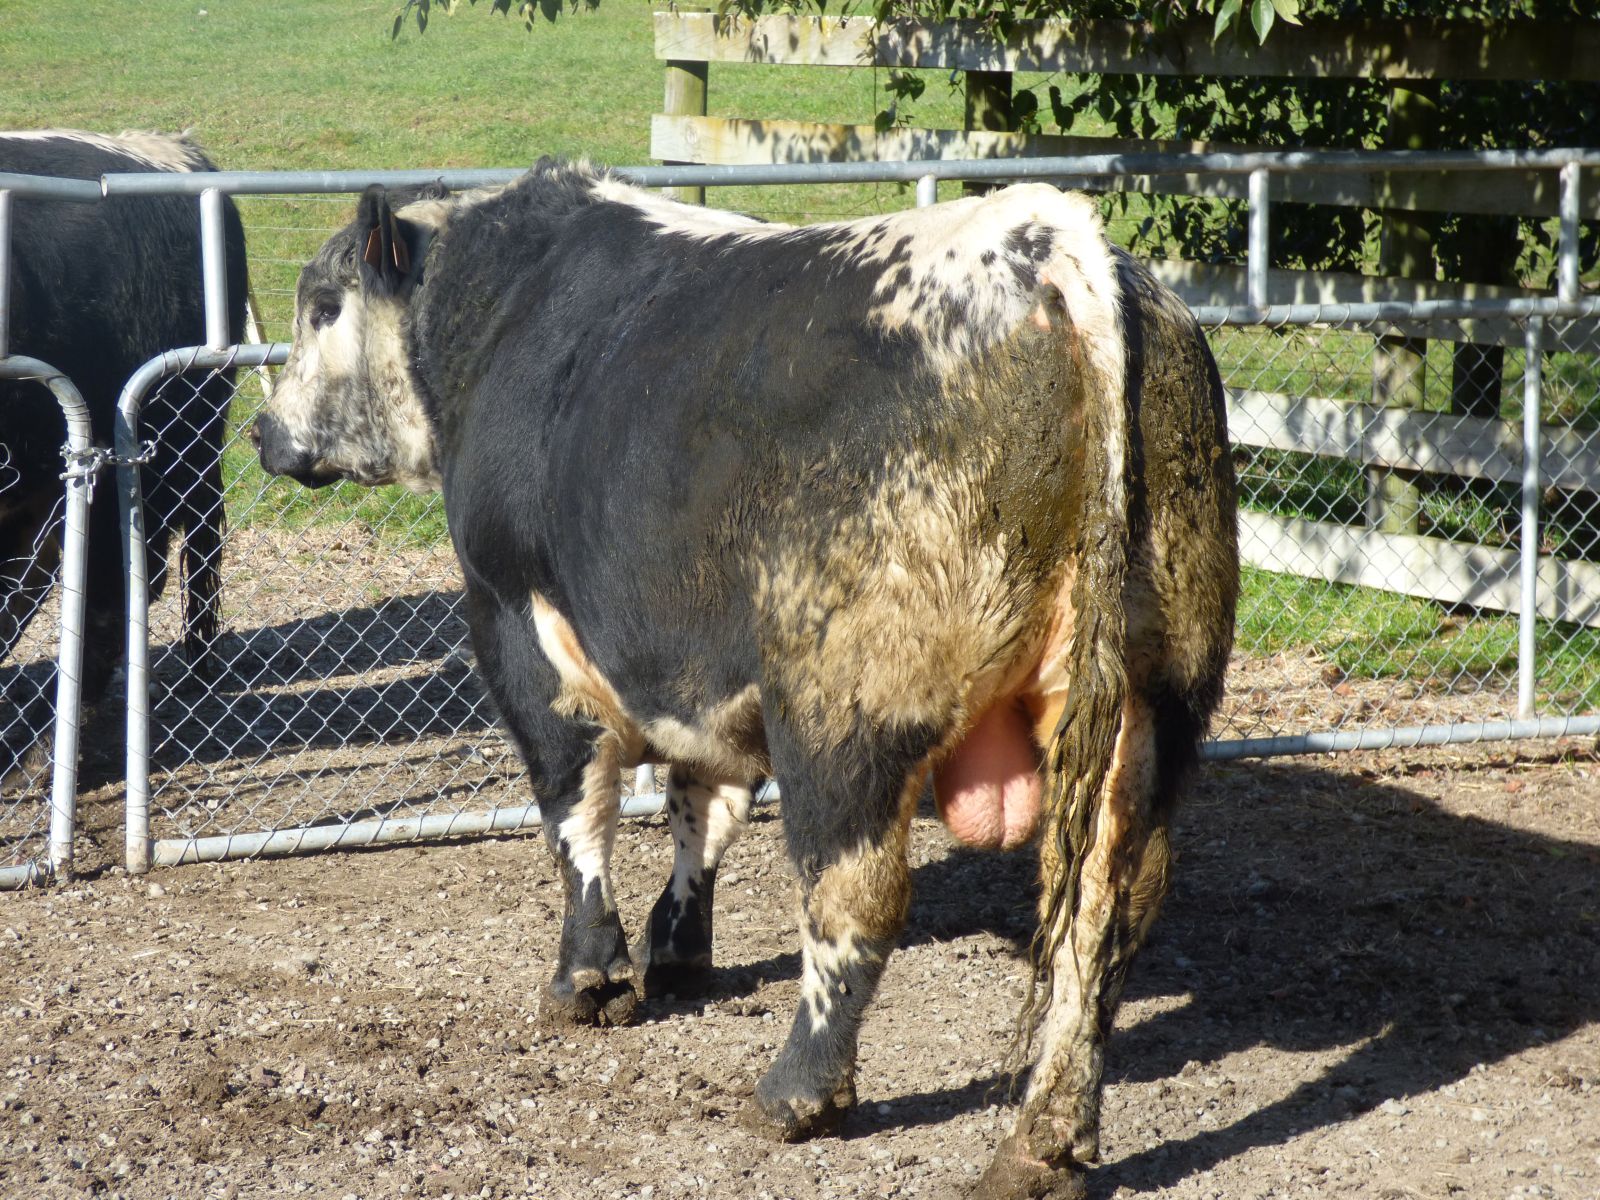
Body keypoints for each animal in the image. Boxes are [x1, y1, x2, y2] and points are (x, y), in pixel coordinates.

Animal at [252, 159, 1238, 1197]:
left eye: (321, 306)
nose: (262, 430)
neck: (498, 312)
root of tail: (1045, 240)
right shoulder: (706, 668)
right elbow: (704, 805)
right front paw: (679, 951)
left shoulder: (519, 624)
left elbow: (578, 807)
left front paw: (589, 977)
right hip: (1146, 710)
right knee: (1104, 911)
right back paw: (1042, 1145)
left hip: (846, 708)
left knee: (858, 897)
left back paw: (799, 1093)